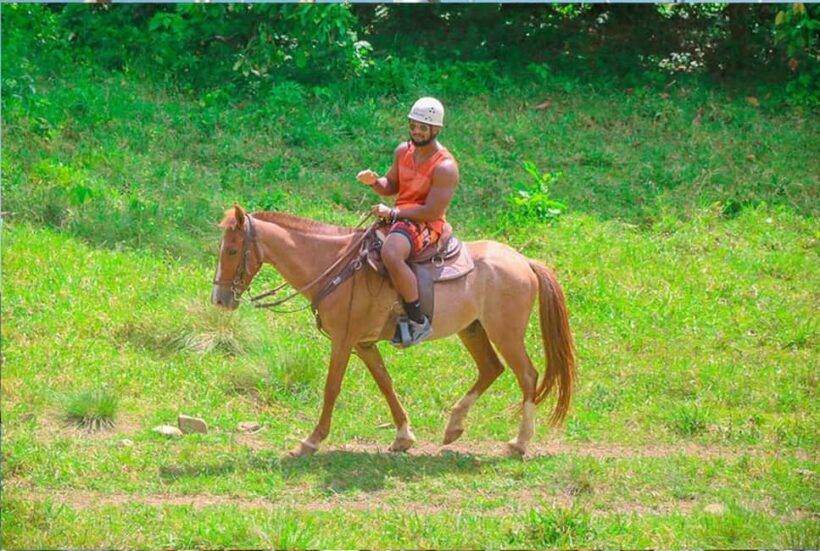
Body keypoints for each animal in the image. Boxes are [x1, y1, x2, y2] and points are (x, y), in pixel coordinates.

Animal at [212, 204, 576, 457]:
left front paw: (310, 441)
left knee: (526, 375)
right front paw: (403, 436)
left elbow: (332, 388)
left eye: (232, 250)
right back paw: (454, 426)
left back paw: (519, 442)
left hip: (506, 333)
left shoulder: (343, 341)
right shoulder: (363, 344)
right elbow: (385, 383)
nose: (219, 298)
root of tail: (524, 262)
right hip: (472, 330)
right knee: (491, 368)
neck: (334, 265)